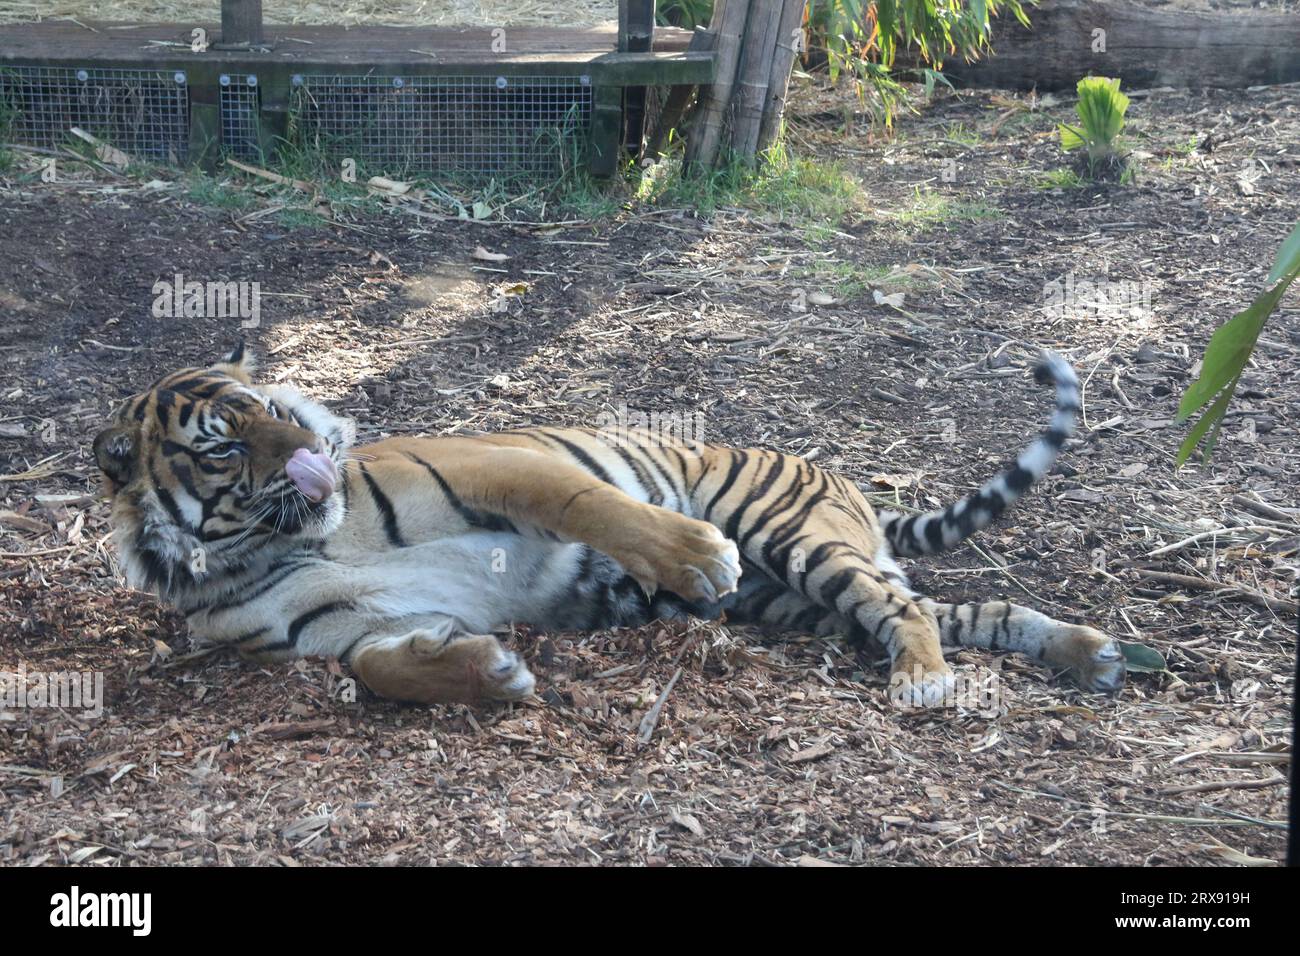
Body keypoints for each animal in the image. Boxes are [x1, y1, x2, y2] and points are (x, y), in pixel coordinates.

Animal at [92, 344, 1126, 709]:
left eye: (274, 406)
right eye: (225, 445)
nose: (313, 444)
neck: (271, 542)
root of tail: (850, 487)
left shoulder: (491, 465)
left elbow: (589, 501)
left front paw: (689, 555)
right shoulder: (352, 626)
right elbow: (381, 667)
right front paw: (490, 674)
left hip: (791, 536)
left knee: (906, 612)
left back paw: (921, 682)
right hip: (802, 600)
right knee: (960, 612)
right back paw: (1089, 652)